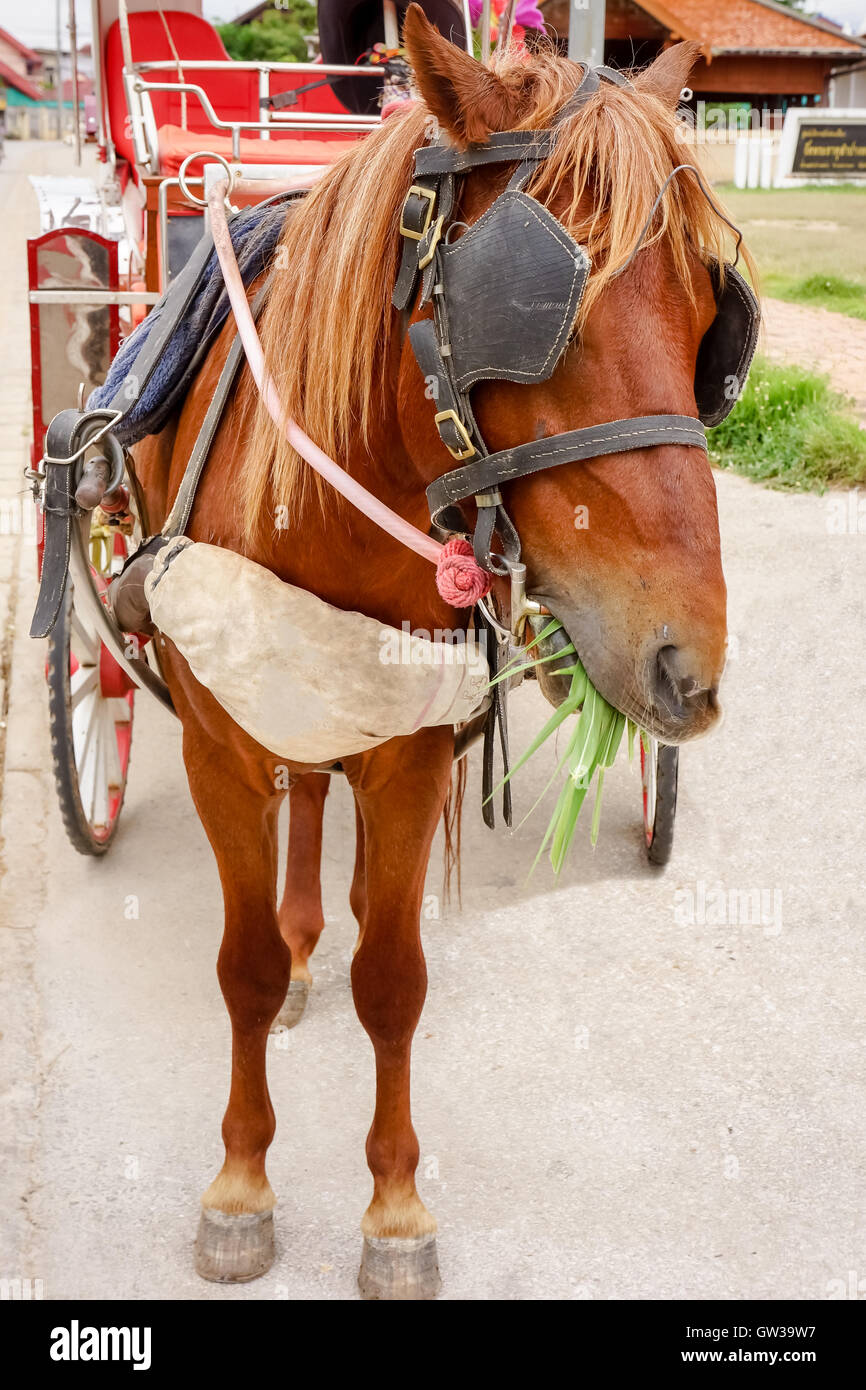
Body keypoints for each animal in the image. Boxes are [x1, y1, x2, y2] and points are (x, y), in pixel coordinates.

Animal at [130, 8, 741, 1298]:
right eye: (534, 309)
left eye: (708, 321)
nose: (684, 663)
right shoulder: (218, 746)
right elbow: (239, 968)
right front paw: (240, 1184)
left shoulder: (407, 749)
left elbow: (392, 978)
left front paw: (394, 1206)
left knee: (322, 805)